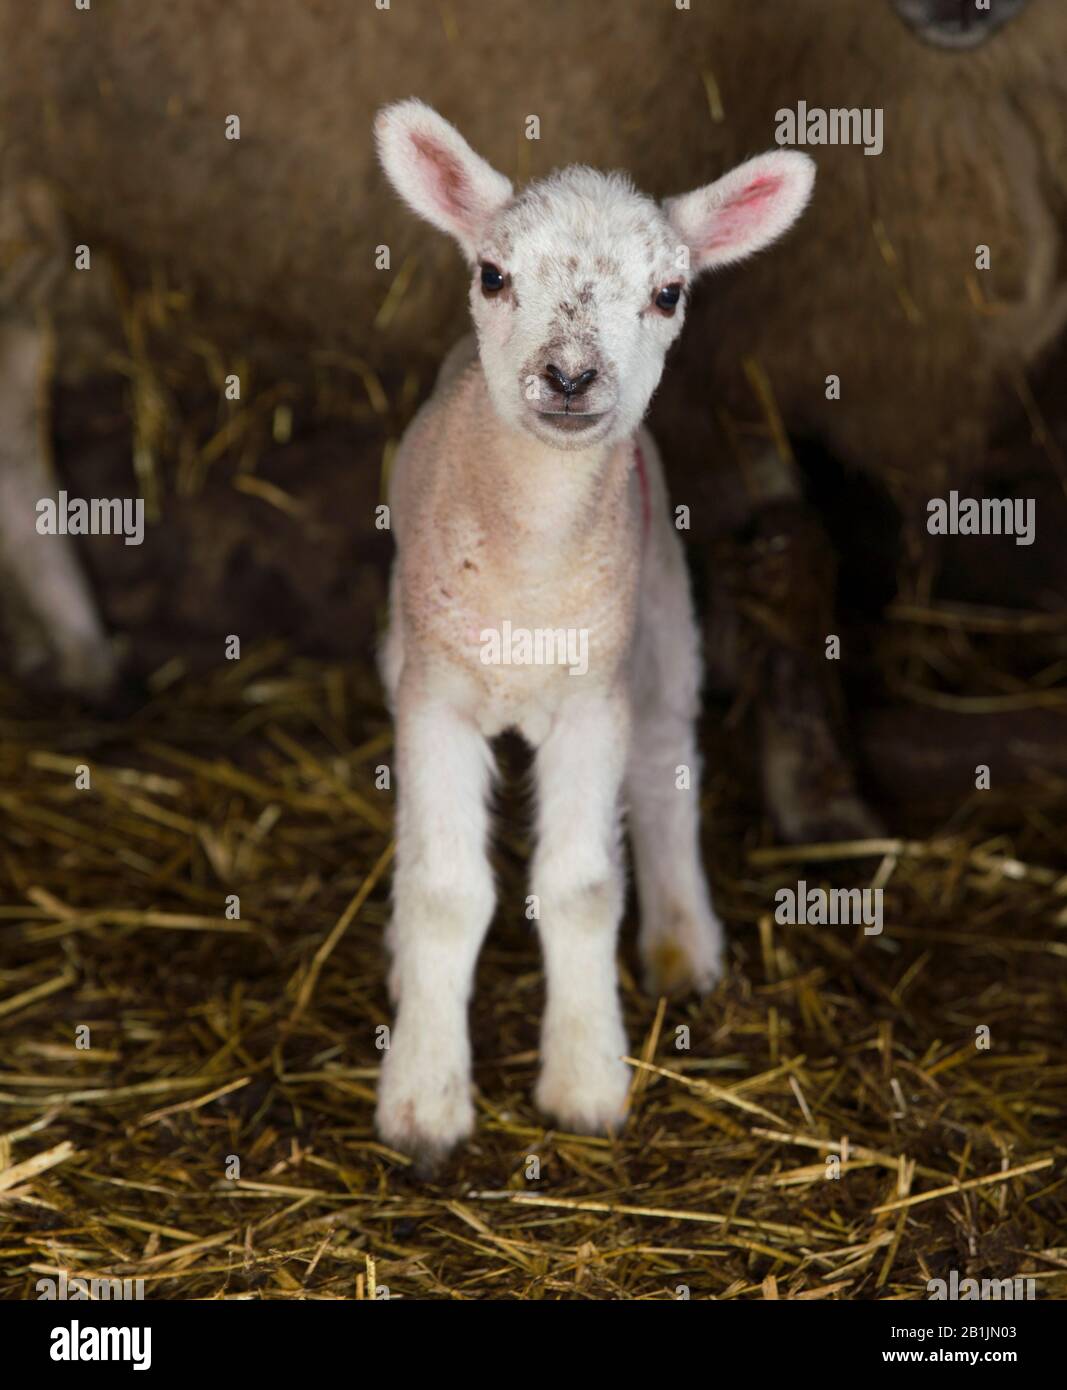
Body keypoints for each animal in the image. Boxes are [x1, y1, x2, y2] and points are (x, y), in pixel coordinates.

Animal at [370, 99, 814, 1165]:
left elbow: (577, 890)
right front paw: (424, 1100)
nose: (569, 375)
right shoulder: (433, 696)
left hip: (659, 624)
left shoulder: (590, 703)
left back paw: (682, 945)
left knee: (663, 765)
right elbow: (445, 889)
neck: (530, 573)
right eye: (492, 274)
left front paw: (583, 1083)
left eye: (667, 292)